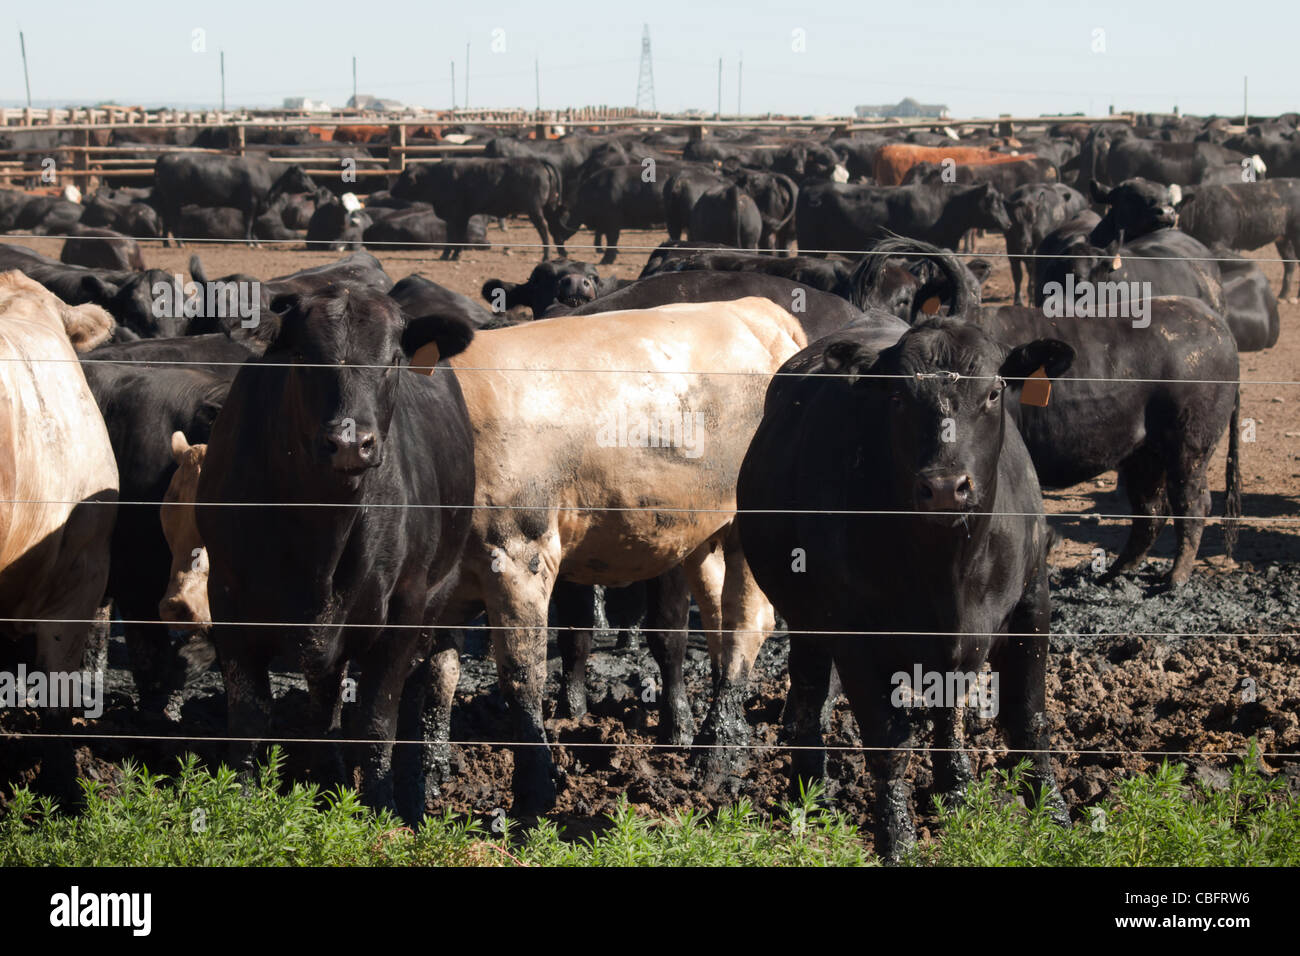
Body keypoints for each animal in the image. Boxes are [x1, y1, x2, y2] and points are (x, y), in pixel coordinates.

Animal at [196, 286, 478, 821]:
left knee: (426, 679)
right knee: (325, 699)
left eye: (392, 361)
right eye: (305, 359)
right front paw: (239, 802)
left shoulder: (406, 607)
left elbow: (376, 720)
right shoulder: (225, 594)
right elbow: (249, 713)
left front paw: (381, 809)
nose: (350, 442)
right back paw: (328, 778)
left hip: (443, 589)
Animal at [390, 157, 561, 261]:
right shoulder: (459, 217)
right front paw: (453, 254)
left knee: (543, 229)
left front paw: (450, 255)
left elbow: (455, 237)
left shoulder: (456, 216)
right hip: (547, 208)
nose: (392, 191)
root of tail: (538, 162)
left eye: (403, 177)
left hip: (535, 211)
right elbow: (457, 236)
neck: (437, 177)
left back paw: (546, 256)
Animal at [736, 312, 1073, 859]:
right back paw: (809, 798)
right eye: (896, 397)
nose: (944, 487)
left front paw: (1055, 816)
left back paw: (956, 794)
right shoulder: (851, 633)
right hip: (804, 620)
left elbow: (1027, 719)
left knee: (946, 710)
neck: (949, 570)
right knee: (807, 699)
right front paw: (897, 837)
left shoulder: (1032, 604)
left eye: (994, 391)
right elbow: (887, 742)